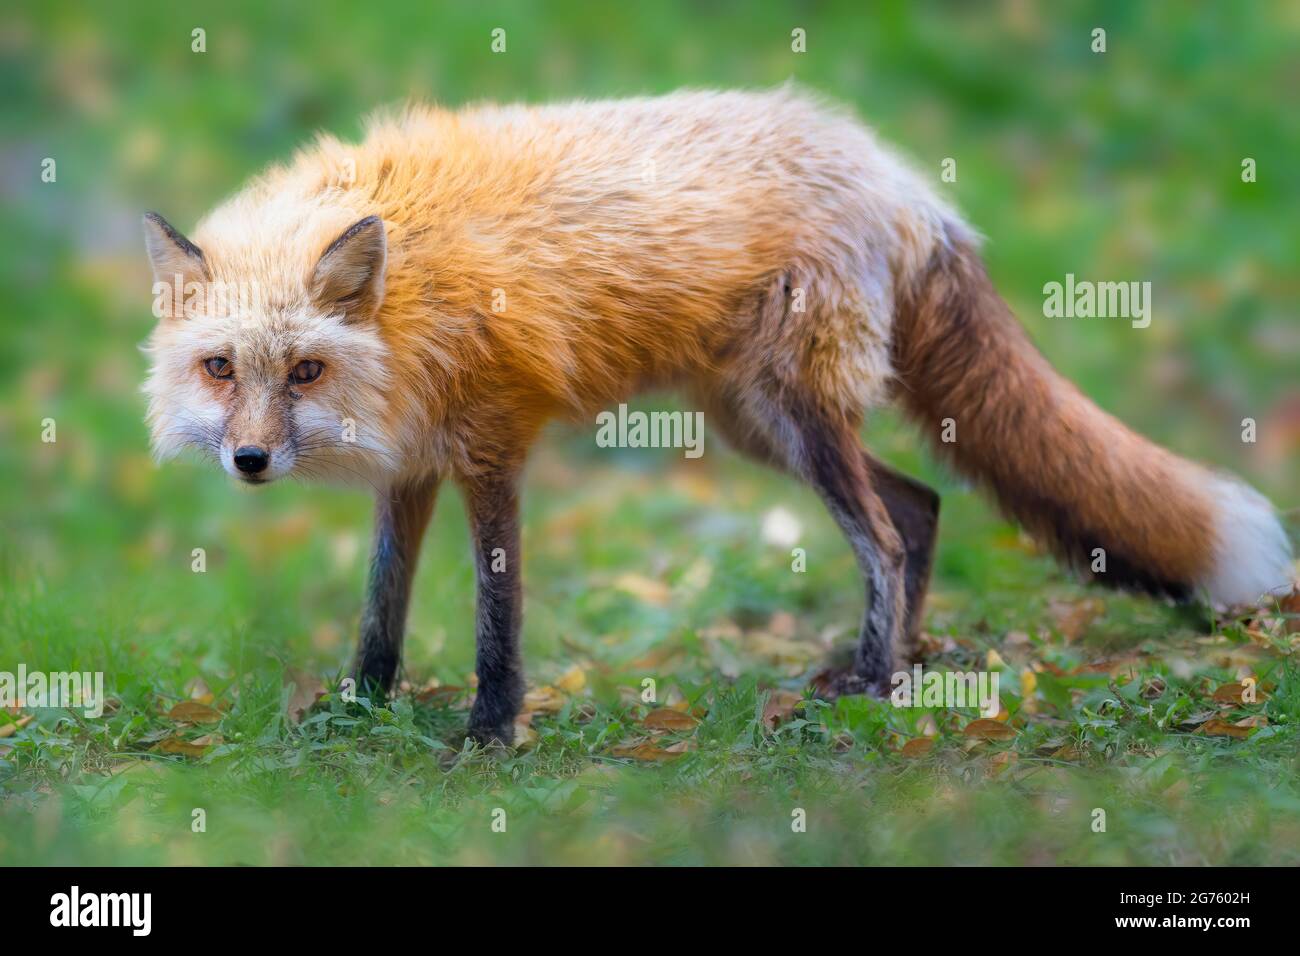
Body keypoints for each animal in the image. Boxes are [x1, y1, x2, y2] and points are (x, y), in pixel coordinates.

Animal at [142, 89, 1289, 743]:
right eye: (219, 369)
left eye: (304, 370)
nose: (251, 460)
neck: (416, 289)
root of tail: (902, 180)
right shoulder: (413, 463)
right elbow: (381, 608)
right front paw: (359, 715)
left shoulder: (494, 444)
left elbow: (493, 619)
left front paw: (490, 732)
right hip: (760, 423)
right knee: (919, 507)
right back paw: (894, 663)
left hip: (794, 415)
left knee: (883, 533)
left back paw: (872, 689)